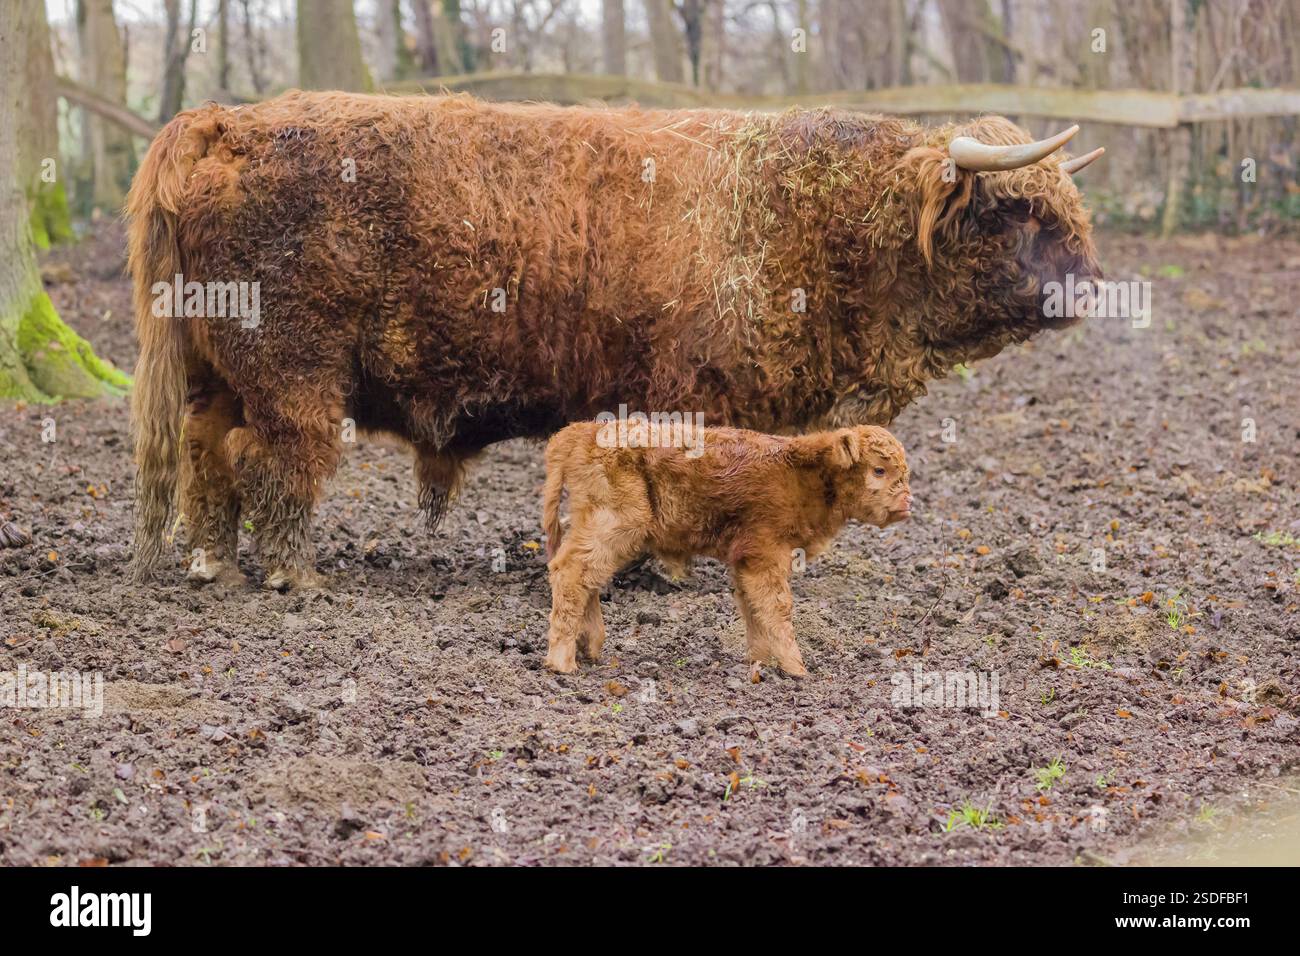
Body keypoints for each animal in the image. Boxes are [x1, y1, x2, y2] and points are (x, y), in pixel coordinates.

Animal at [126, 90, 1102, 589]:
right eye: (1018, 210)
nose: (1093, 283)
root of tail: (222, 121)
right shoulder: (689, 392)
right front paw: (673, 572)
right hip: (293, 375)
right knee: (269, 461)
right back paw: (295, 577)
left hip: (218, 371)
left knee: (209, 456)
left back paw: (215, 563)